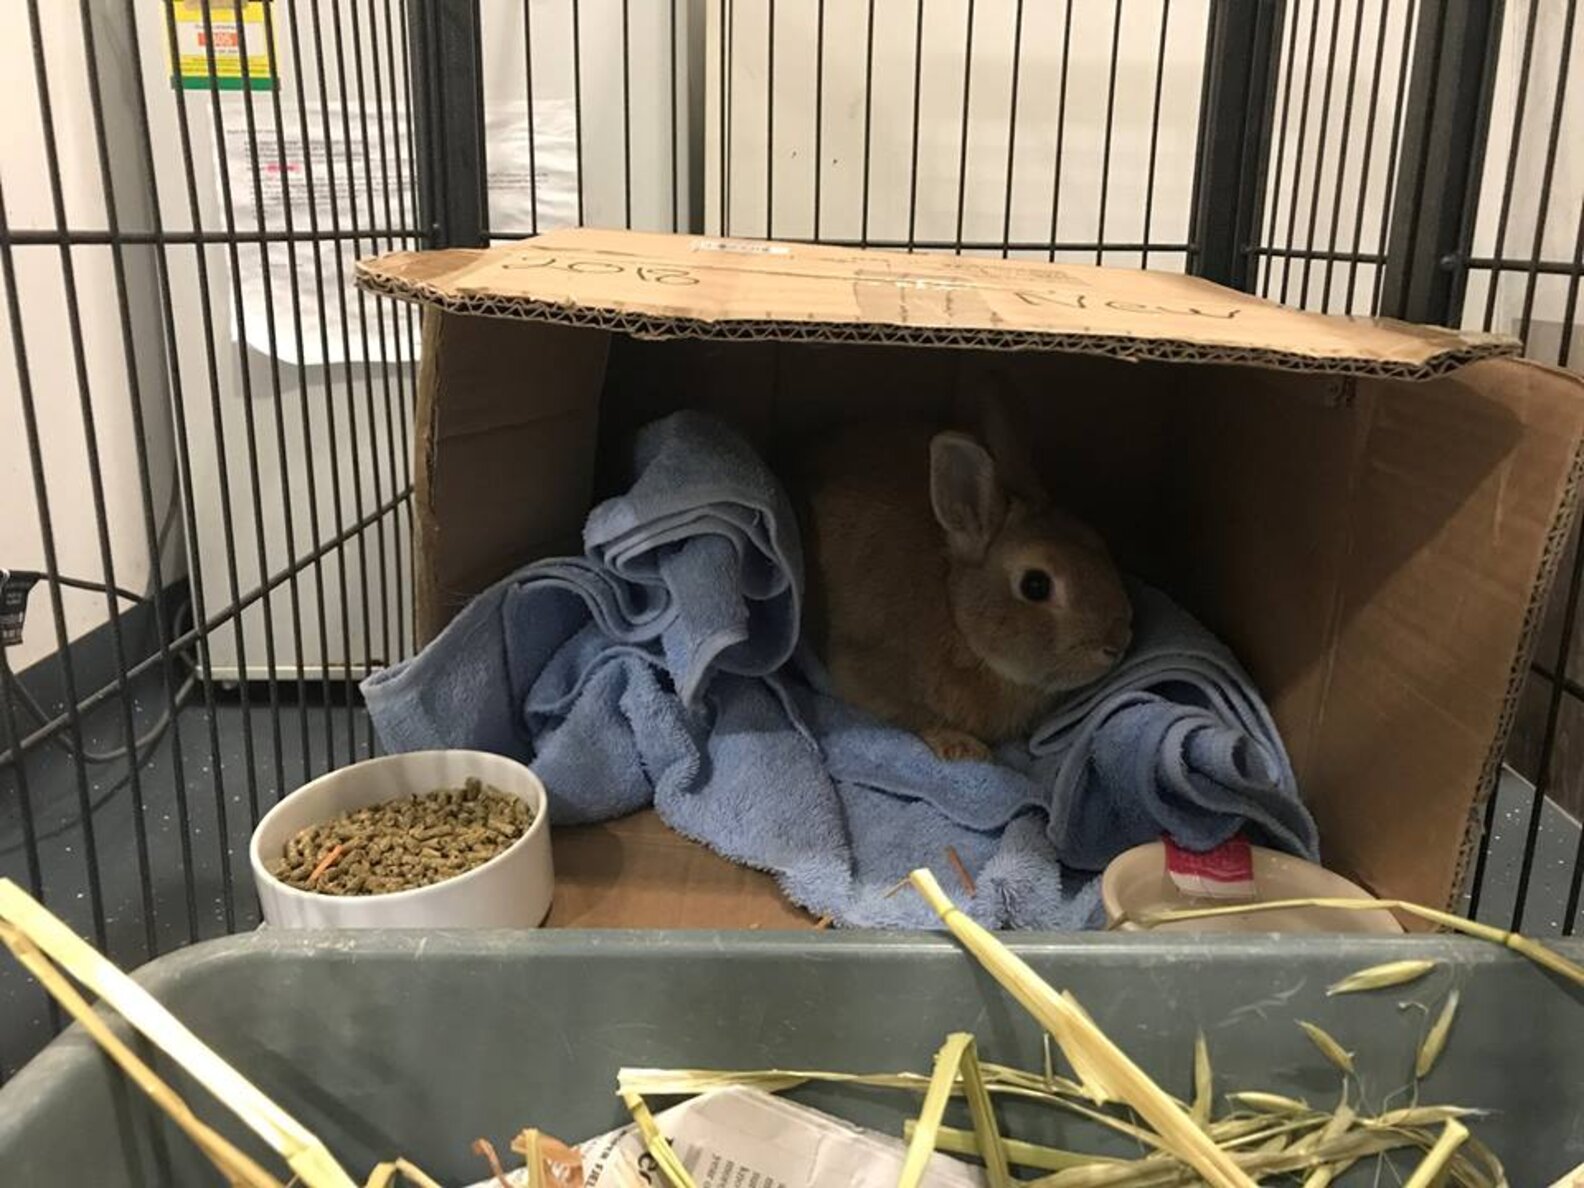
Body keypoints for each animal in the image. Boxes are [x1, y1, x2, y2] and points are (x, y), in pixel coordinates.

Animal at [792, 398, 1133, 762]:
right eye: (1036, 585)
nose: (1117, 643)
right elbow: (912, 717)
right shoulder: (863, 671)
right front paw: (964, 748)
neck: (956, 613)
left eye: (1100, 544)